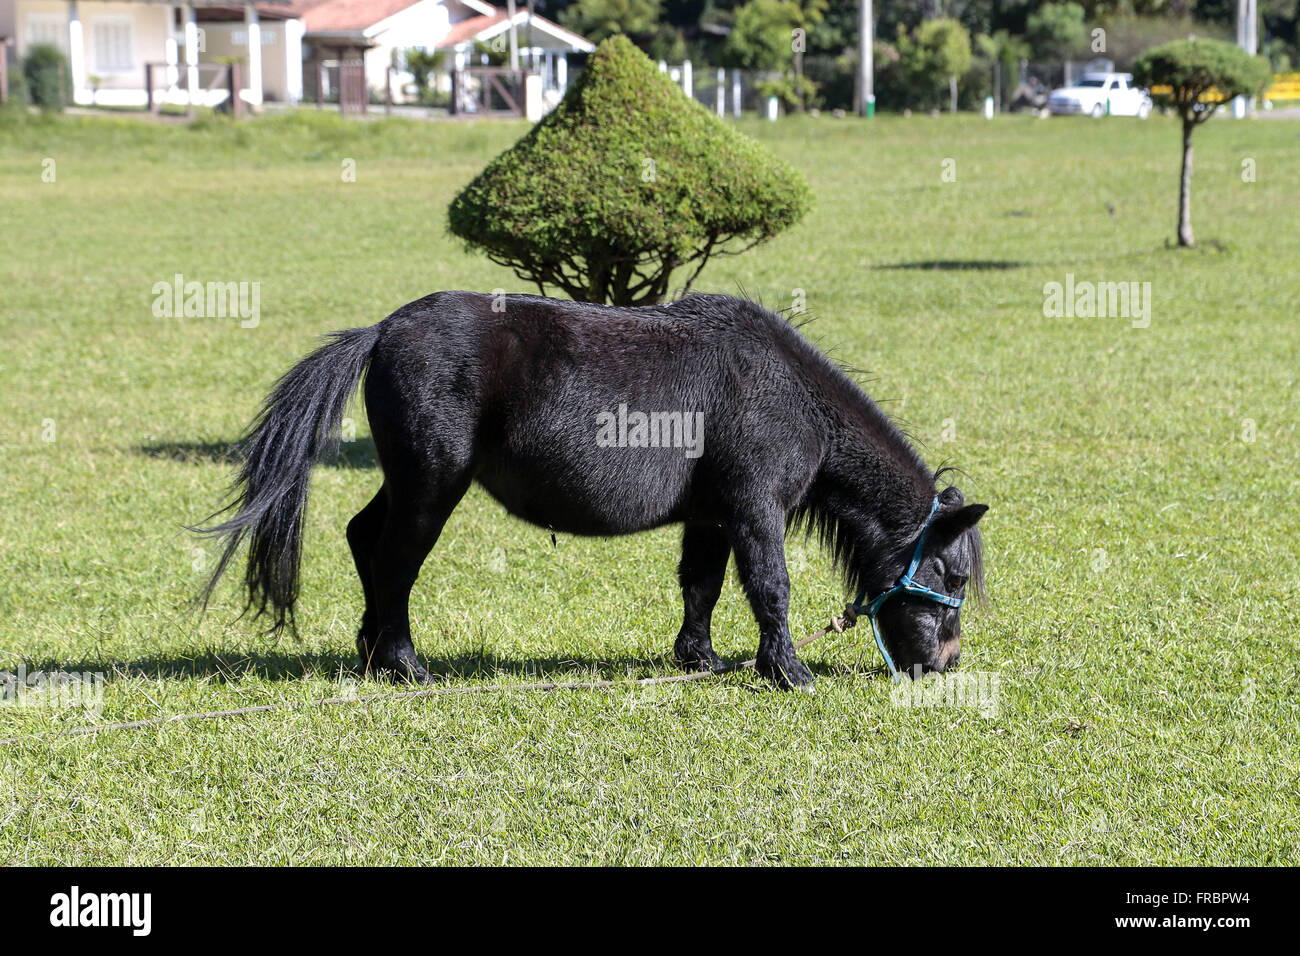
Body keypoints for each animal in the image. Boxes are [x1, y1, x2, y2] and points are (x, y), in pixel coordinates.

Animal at [197, 291, 987, 690]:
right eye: (949, 576)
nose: (946, 664)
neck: (789, 392)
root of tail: (385, 329)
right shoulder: (755, 511)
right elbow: (769, 585)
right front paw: (786, 671)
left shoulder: (711, 517)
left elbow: (700, 585)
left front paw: (699, 659)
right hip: (431, 486)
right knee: (395, 562)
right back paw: (404, 663)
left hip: (408, 483)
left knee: (365, 538)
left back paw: (370, 651)